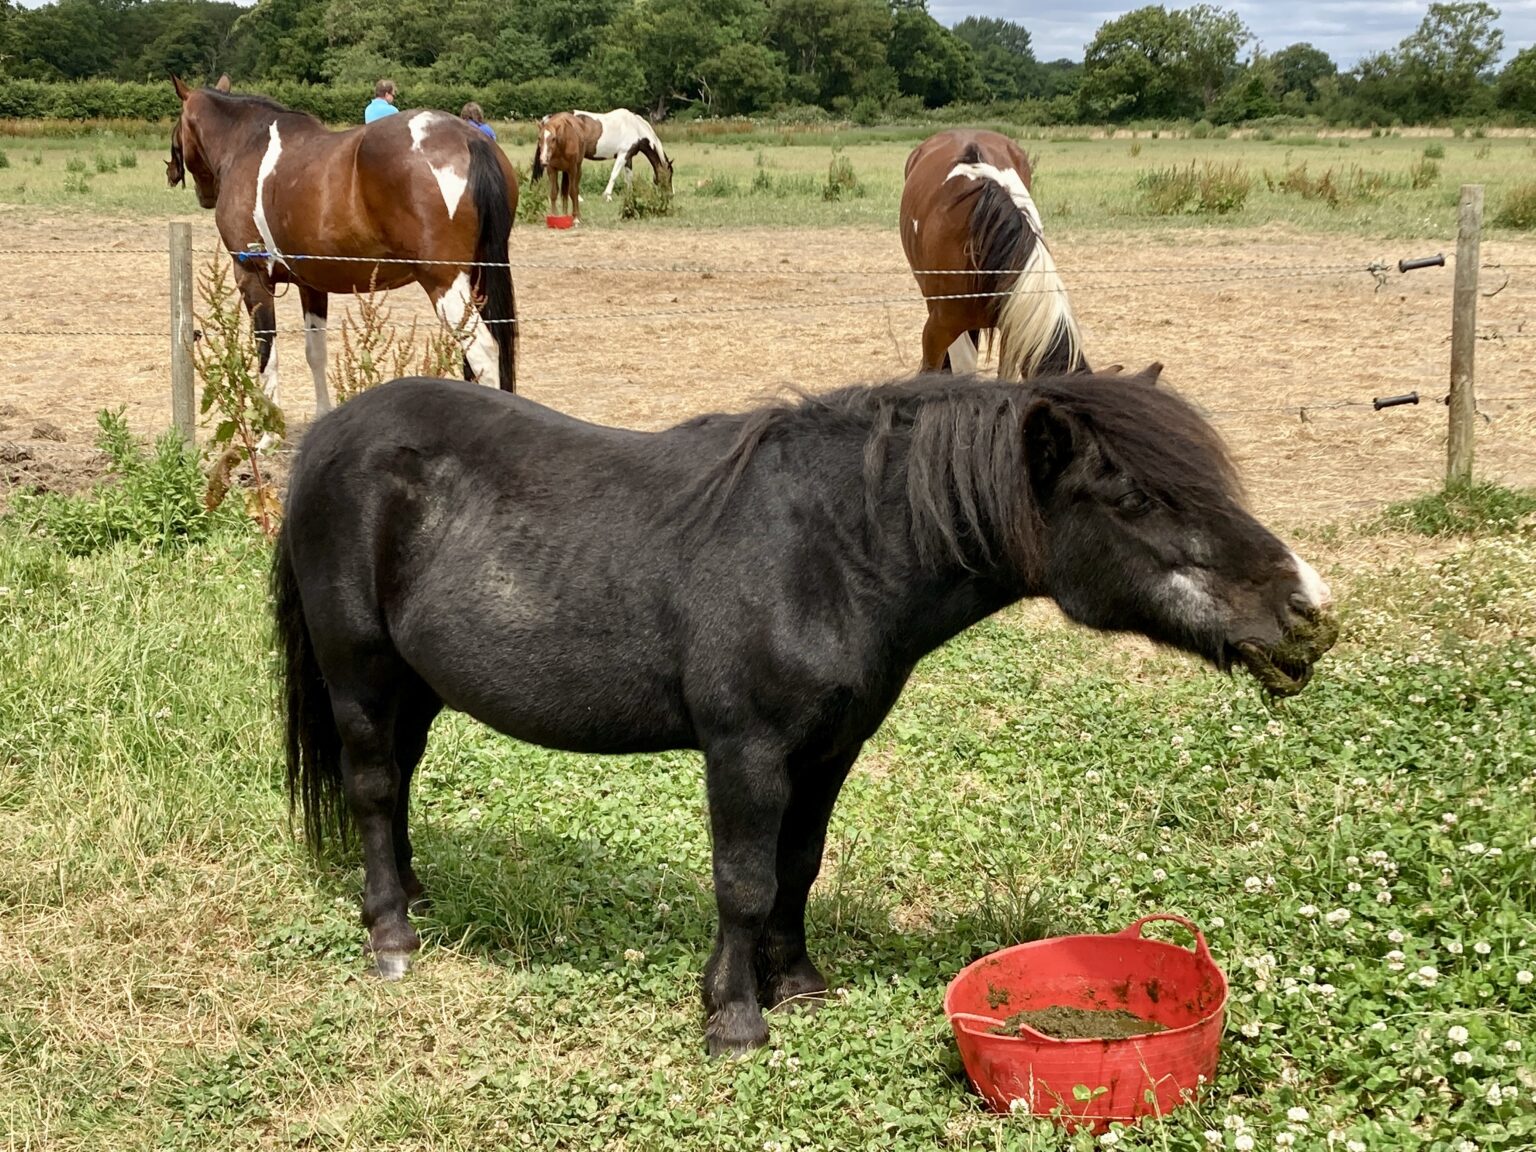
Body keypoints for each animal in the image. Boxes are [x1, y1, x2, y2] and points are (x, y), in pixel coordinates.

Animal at [166, 74, 520, 411]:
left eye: (178, 127)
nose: (176, 175)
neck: (246, 146)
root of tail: (470, 138)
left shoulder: (253, 279)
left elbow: (267, 356)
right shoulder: (311, 285)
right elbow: (315, 353)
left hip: (444, 282)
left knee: (483, 352)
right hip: (478, 279)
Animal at [273, 369, 1337, 1056]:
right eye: (1132, 497)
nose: (1306, 610)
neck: (828, 551)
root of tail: (332, 434)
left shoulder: (828, 750)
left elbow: (798, 867)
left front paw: (798, 985)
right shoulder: (745, 750)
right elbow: (744, 880)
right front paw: (735, 1020)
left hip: (418, 684)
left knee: (401, 785)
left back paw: (415, 897)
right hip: (360, 671)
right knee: (374, 787)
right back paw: (391, 936)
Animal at [530, 108, 674, 222]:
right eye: (669, 176)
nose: (671, 195)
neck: (635, 127)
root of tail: (551, 117)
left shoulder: (628, 157)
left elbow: (628, 178)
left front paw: (630, 197)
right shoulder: (622, 154)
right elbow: (614, 175)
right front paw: (607, 196)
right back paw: (580, 198)